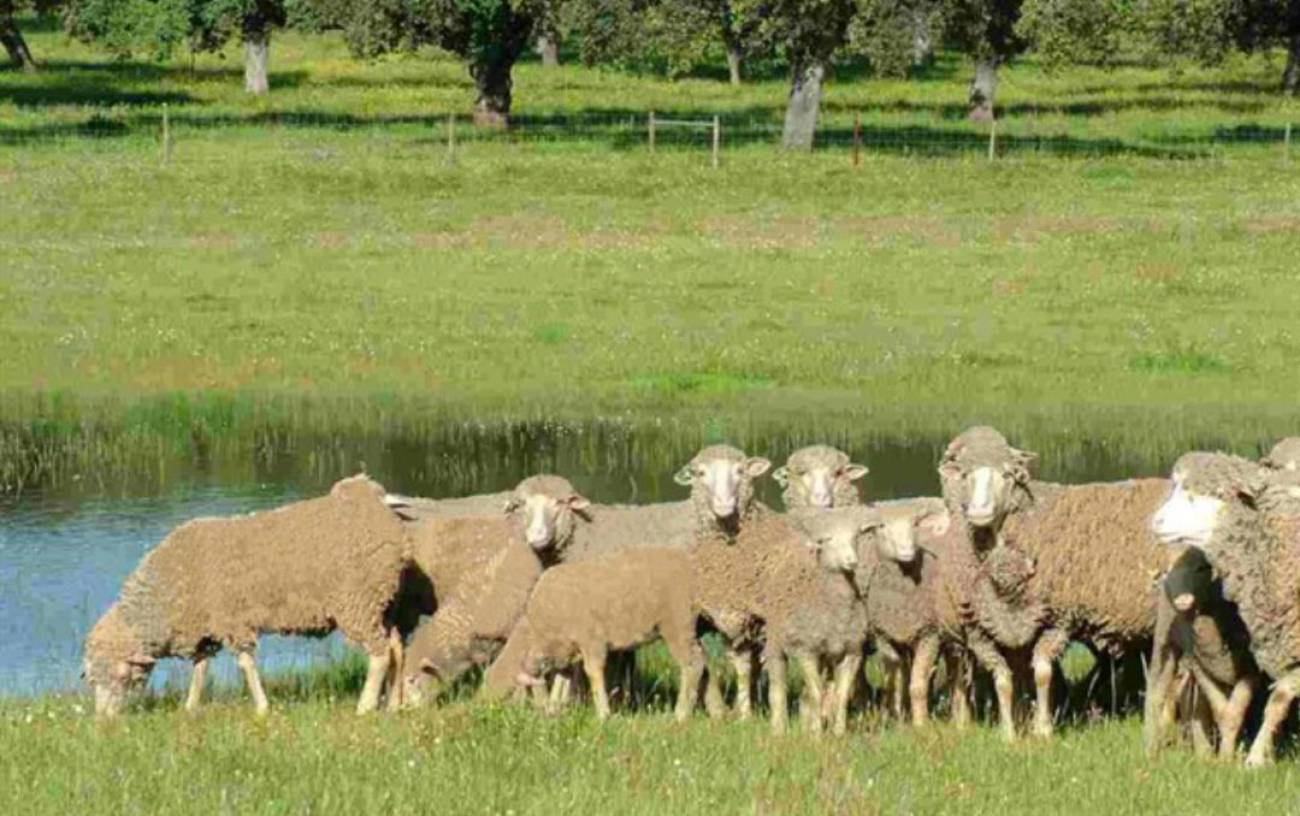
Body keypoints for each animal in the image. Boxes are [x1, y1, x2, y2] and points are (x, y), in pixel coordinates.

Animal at [83, 474, 408, 718]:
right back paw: (394, 704)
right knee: (396, 646)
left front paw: (262, 708)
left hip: (358, 602)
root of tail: (376, 503)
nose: (102, 722)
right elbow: (201, 668)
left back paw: (365, 706)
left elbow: (245, 664)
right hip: (383, 602)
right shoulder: (207, 629)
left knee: (379, 654)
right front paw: (190, 706)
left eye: (118, 675)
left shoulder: (232, 622)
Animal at [481, 549, 706, 722]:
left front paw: (603, 714)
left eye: (510, 692)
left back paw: (681, 713)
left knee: (693, 663)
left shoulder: (592, 639)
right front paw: (554, 709)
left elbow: (593, 671)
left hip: (677, 623)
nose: (481, 711)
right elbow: (562, 678)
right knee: (703, 659)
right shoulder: (565, 650)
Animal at [937, 426, 1171, 740]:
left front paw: (1043, 730)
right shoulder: (981, 629)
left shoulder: (1058, 619)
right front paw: (1010, 733)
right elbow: (1003, 680)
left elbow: (1042, 672)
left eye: (1008, 475)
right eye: (964, 475)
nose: (980, 512)